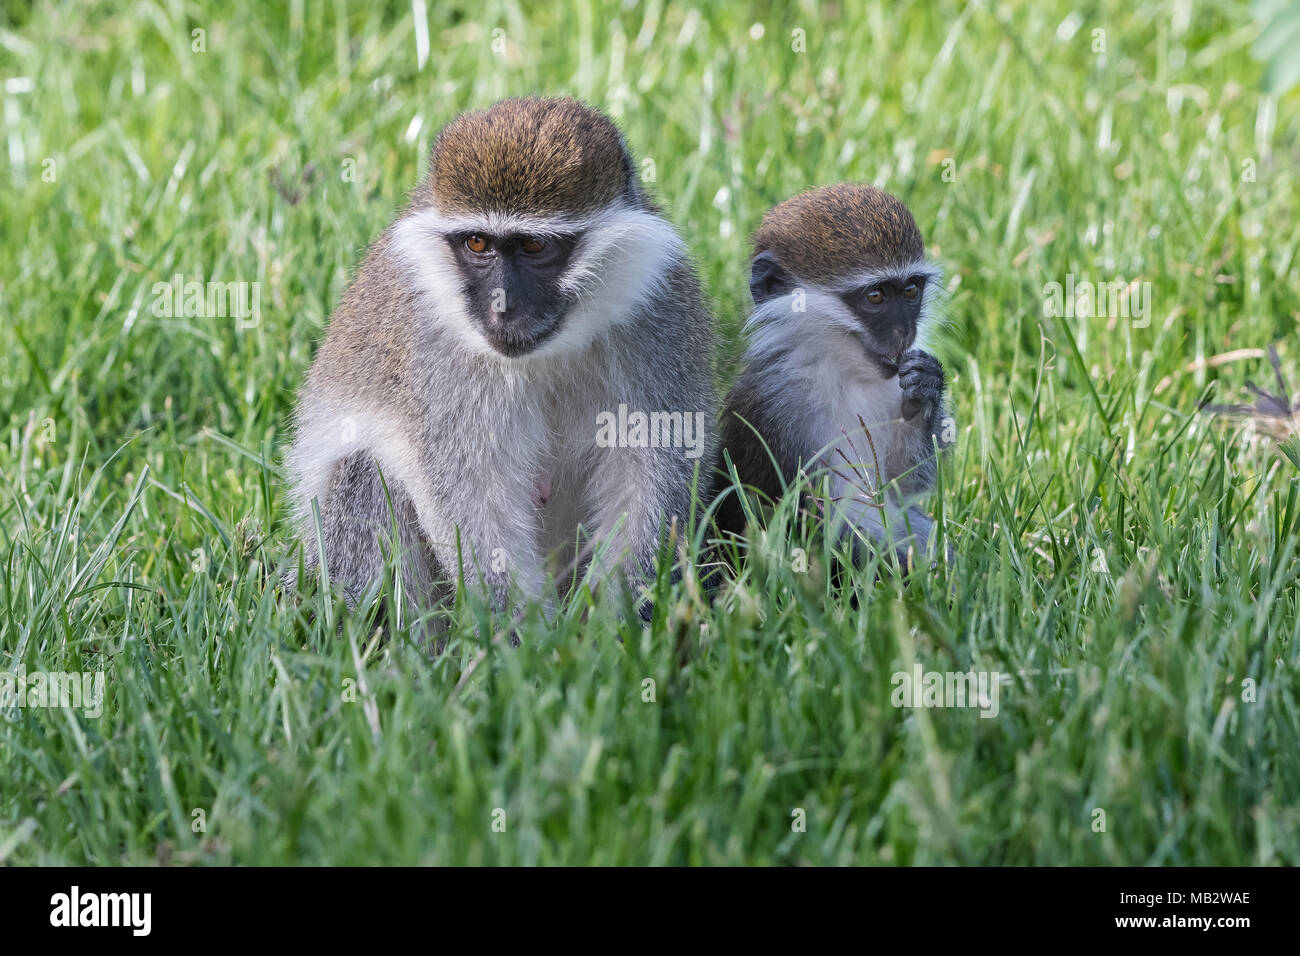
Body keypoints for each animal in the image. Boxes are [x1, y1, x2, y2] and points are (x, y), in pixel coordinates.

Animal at [285, 97, 716, 632]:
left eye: (533, 246)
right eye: (477, 244)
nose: (501, 306)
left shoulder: (660, 310)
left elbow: (650, 468)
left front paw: (613, 624)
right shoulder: (441, 353)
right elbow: (473, 494)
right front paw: (524, 638)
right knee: (362, 473)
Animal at [715, 184, 952, 567]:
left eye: (911, 291)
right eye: (876, 296)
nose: (905, 333)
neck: (839, 370)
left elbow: (902, 482)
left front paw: (926, 389)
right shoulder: (776, 406)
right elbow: (809, 517)